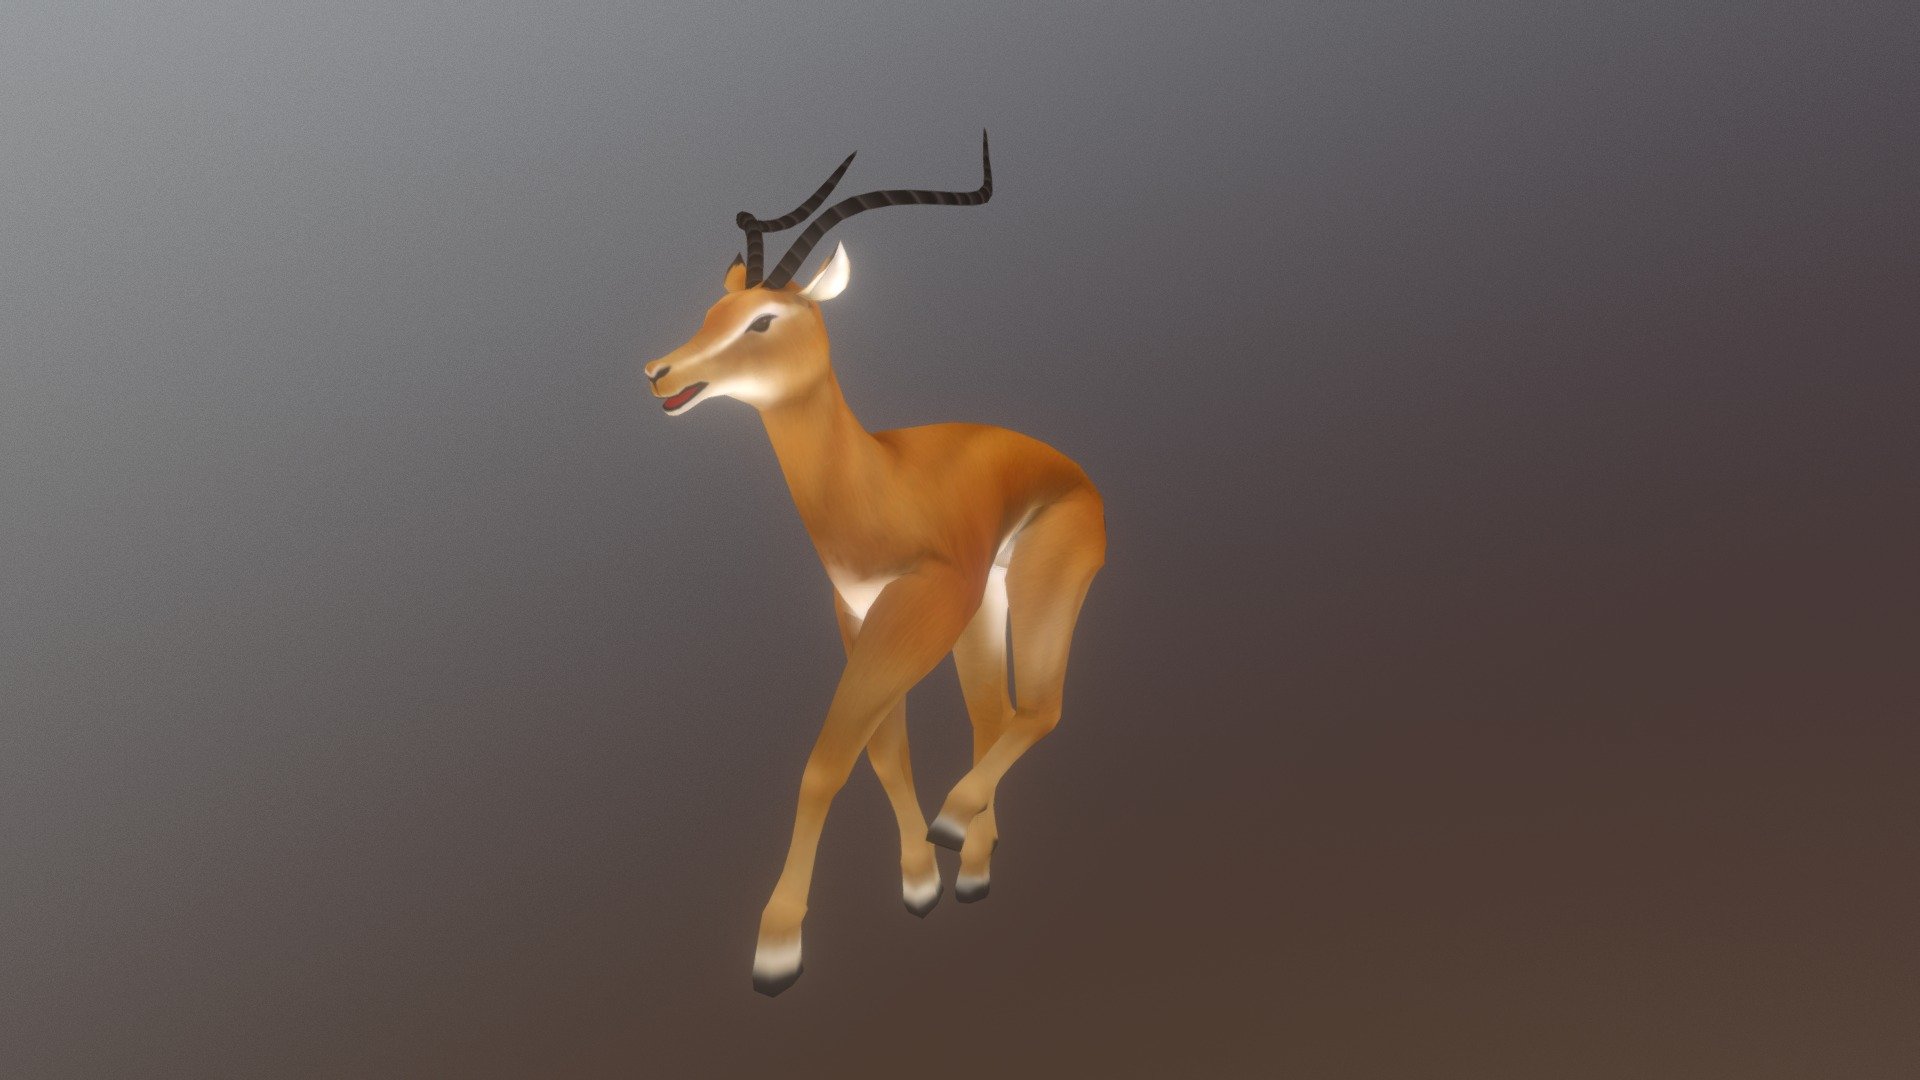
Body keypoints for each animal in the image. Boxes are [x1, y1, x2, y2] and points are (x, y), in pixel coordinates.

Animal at [641, 132, 1105, 996]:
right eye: (714, 309)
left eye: (762, 318)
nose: (660, 371)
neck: (877, 481)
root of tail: (1079, 475)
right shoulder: (858, 614)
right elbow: (886, 754)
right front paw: (920, 883)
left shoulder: (913, 614)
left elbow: (828, 763)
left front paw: (777, 948)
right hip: (985, 611)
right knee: (994, 715)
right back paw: (972, 865)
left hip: (1038, 589)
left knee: (1041, 708)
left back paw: (957, 821)